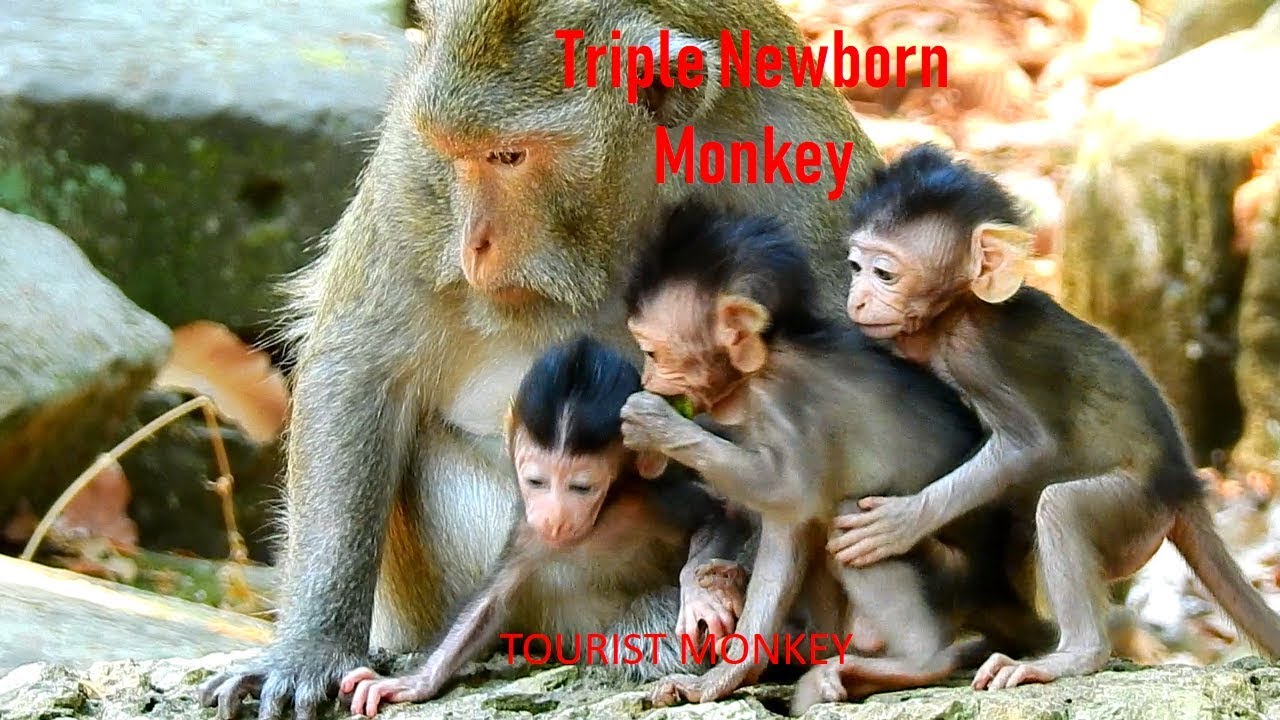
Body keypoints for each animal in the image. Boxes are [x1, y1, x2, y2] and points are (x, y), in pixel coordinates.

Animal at [333, 335, 751, 717]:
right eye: (536, 481)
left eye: (582, 487)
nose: (554, 516)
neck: (594, 526)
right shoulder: (528, 532)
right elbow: (492, 603)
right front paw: (412, 682)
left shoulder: (642, 502)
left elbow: (721, 516)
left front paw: (699, 595)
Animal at [616, 199, 1053, 712]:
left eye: (652, 353)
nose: (647, 380)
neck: (763, 361)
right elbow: (774, 522)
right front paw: (716, 645)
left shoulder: (782, 403)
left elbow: (787, 494)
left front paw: (653, 424)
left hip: (952, 579)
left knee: (846, 518)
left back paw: (917, 662)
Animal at [824, 143, 1280, 690]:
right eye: (856, 266)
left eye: (885, 274)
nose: (858, 299)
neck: (958, 313)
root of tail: (1183, 484)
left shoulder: (975, 354)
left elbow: (1028, 446)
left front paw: (901, 521)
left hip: (1134, 511)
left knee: (1062, 506)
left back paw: (1071, 655)